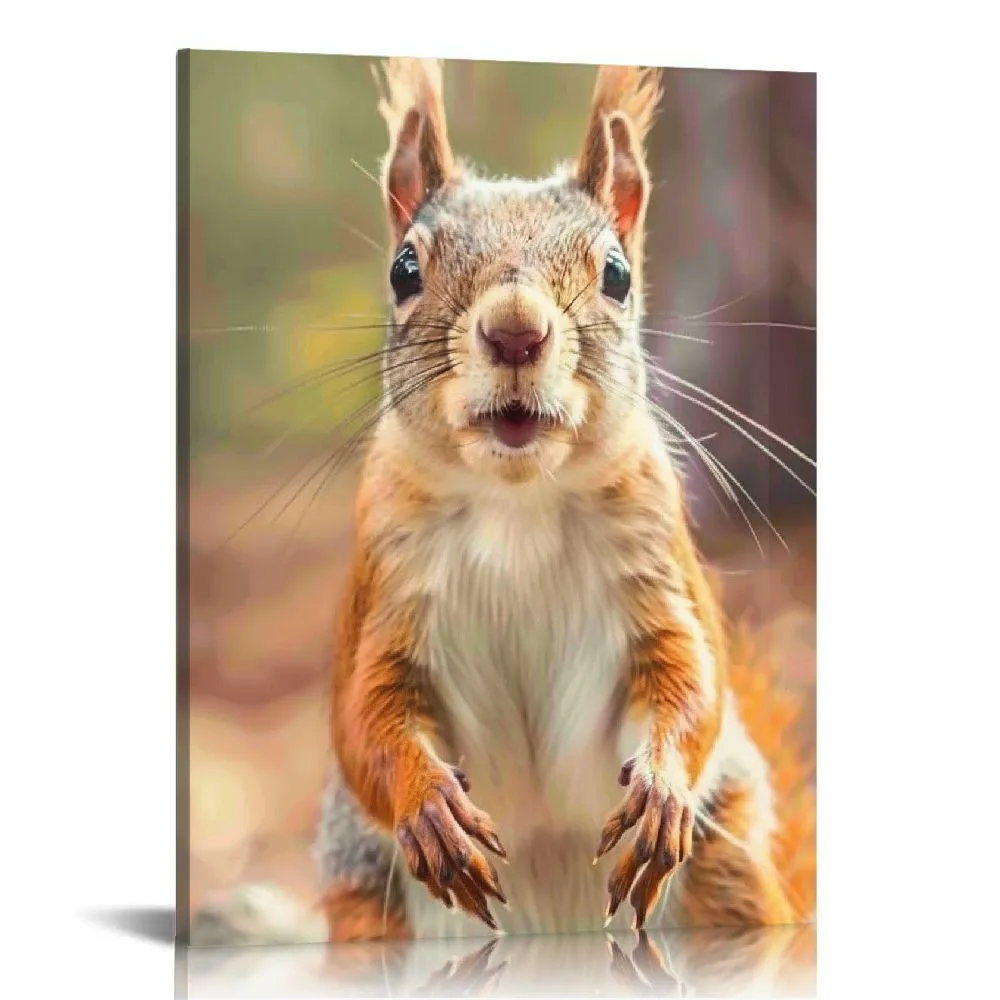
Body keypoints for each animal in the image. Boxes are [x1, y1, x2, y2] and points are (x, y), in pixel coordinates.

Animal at [188, 57, 815, 947]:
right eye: (403, 269)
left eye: (618, 274)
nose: (516, 330)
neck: (517, 502)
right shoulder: (382, 589)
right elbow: (360, 715)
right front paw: (427, 807)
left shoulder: (659, 568)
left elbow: (695, 677)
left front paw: (662, 786)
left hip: (731, 878)